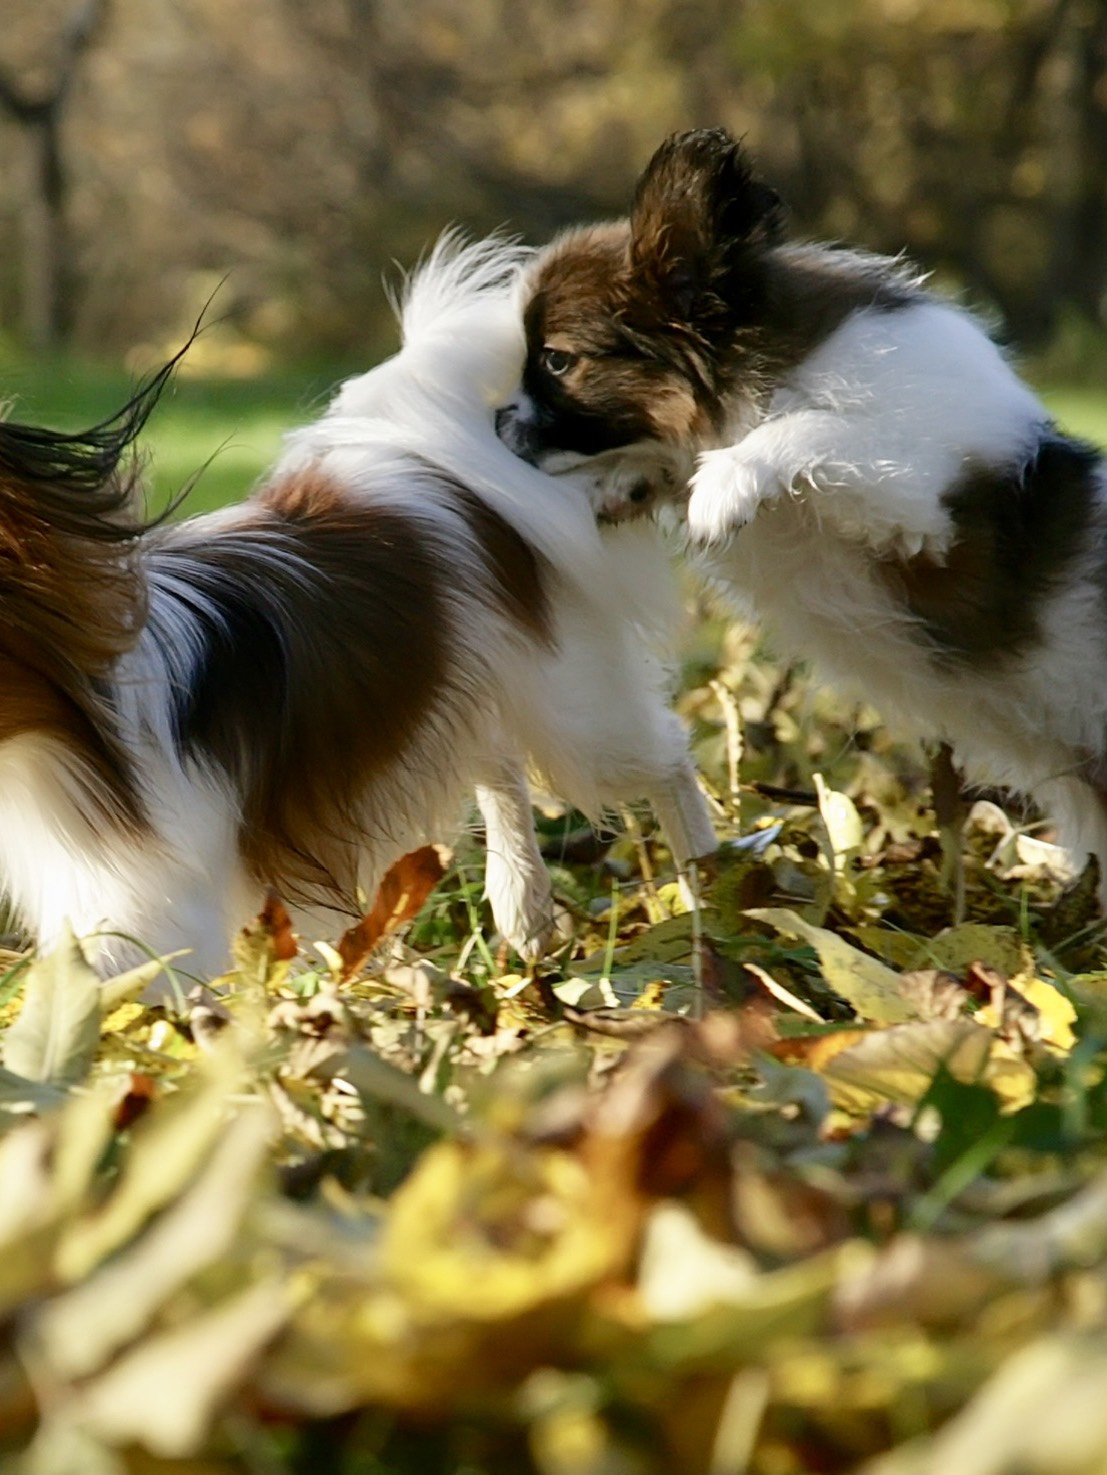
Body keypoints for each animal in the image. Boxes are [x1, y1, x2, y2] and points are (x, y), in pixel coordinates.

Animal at [0, 238, 713, 979]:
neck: (64, 735)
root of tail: (424, 458)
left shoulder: (157, 918)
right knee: (497, 758)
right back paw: (525, 904)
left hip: (575, 709)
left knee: (666, 756)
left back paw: (712, 899)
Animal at [501, 126, 1107, 890]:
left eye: (555, 362)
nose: (497, 423)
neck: (772, 375)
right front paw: (623, 483)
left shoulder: (928, 518)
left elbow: (811, 430)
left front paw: (726, 482)